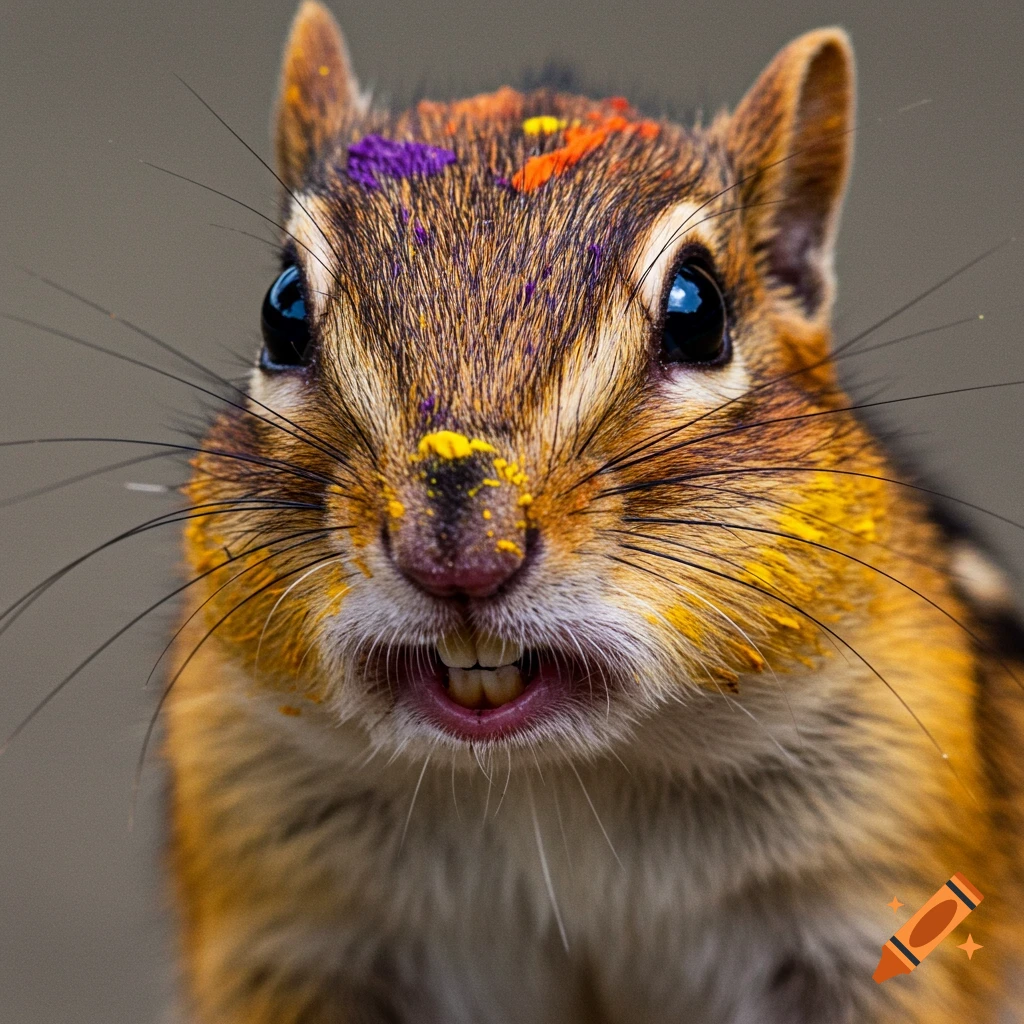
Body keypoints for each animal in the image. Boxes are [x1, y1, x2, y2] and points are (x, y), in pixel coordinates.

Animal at [164, 3, 1024, 1021]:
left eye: (699, 310)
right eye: (283, 310)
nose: (461, 557)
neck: (547, 779)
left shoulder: (862, 890)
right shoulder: (294, 919)